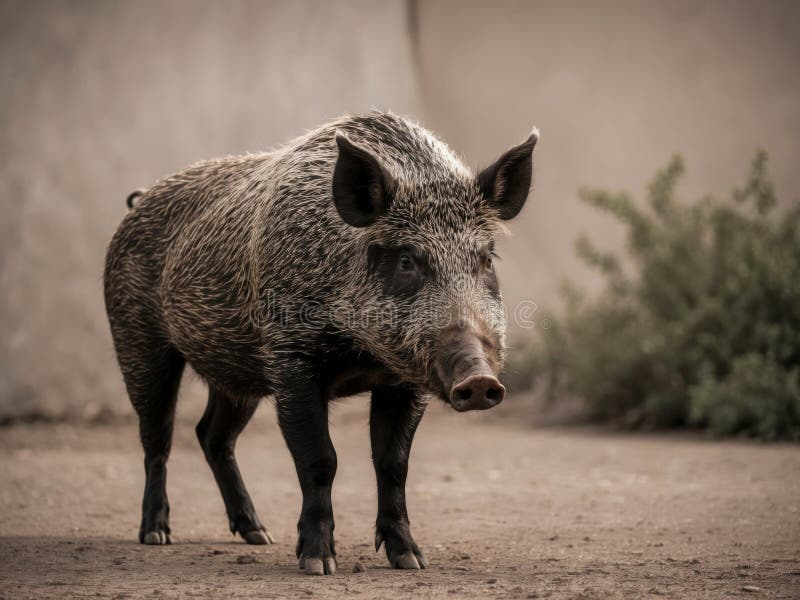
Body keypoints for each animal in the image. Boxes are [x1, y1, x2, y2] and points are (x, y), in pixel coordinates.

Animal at [104, 112, 538, 575]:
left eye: (486, 259)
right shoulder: (291, 363)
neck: (363, 350)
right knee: (158, 439)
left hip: (237, 374)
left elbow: (393, 464)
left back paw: (258, 534)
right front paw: (318, 563)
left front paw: (411, 560)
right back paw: (156, 535)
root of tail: (137, 203)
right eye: (406, 260)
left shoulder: (403, 382)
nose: (479, 381)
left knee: (212, 436)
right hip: (137, 341)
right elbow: (320, 459)